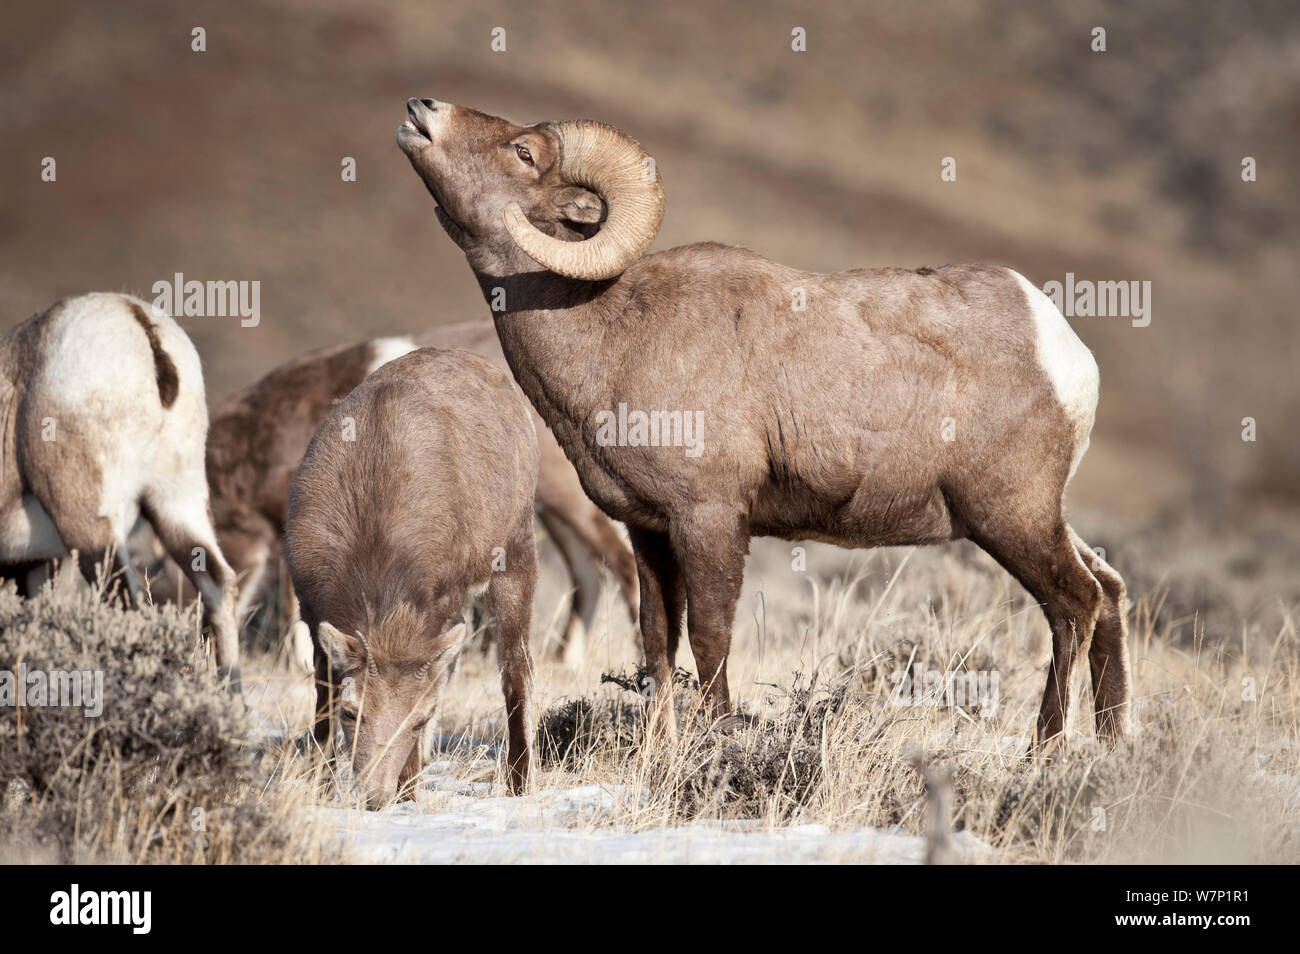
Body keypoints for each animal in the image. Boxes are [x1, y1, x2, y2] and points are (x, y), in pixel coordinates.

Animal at [0, 293, 240, 684]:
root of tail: (138, 321)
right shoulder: (37, 567)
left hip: (93, 531)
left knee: (128, 604)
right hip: (178, 504)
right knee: (219, 585)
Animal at [284, 347, 539, 805]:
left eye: (419, 719)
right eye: (351, 711)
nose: (374, 797)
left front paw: (409, 788)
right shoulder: (310, 609)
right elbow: (321, 699)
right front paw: (320, 784)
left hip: (517, 549)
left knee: (517, 668)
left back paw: (519, 781)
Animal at [395, 97, 1133, 751]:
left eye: (522, 152)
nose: (421, 110)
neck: (610, 329)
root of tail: (1061, 346)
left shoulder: (711, 519)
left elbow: (710, 638)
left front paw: (720, 742)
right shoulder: (649, 529)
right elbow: (657, 642)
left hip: (1010, 517)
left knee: (1074, 602)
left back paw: (1045, 750)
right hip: (1039, 516)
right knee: (1109, 588)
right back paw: (1112, 742)